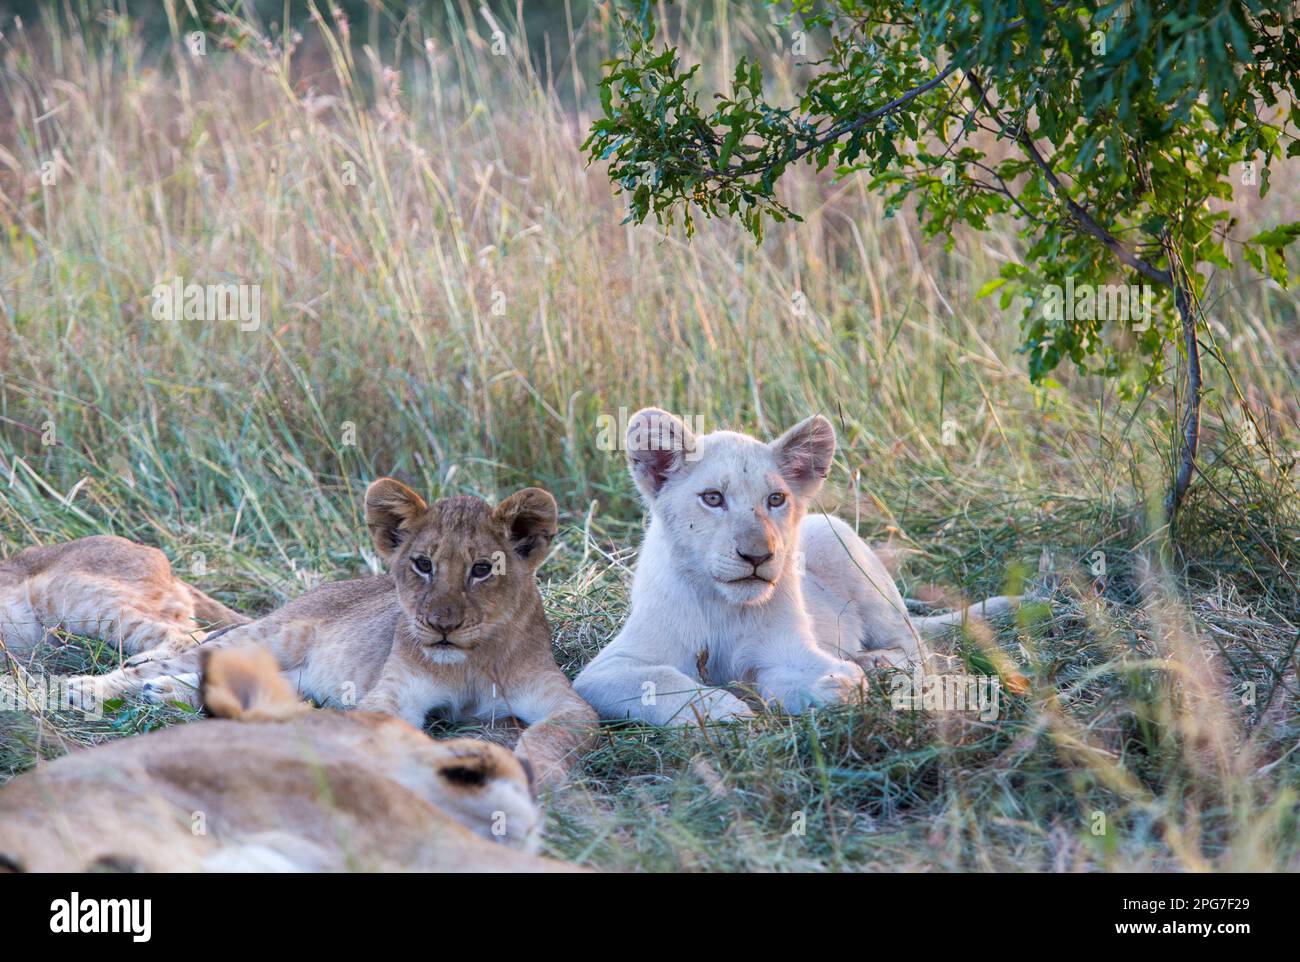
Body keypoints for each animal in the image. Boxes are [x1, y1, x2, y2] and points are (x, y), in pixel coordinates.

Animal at [68, 480, 597, 788]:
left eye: (483, 569)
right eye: (423, 564)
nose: (441, 625)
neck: (469, 661)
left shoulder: (568, 703)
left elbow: (550, 733)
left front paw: (540, 773)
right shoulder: (391, 695)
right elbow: (395, 728)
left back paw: (166, 694)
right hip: (269, 635)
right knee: (177, 656)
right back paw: (91, 689)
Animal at [572, 408, 1017, 725]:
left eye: (776, 499)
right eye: (712, 498)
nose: (757, 556)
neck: (724, 606)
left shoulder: (791, 650)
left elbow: (822, 679)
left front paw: (821, 685)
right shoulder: (607, 670)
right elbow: (661, 681)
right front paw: (724, 711)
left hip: (848, 550)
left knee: (920, 649)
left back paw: (878, 663)